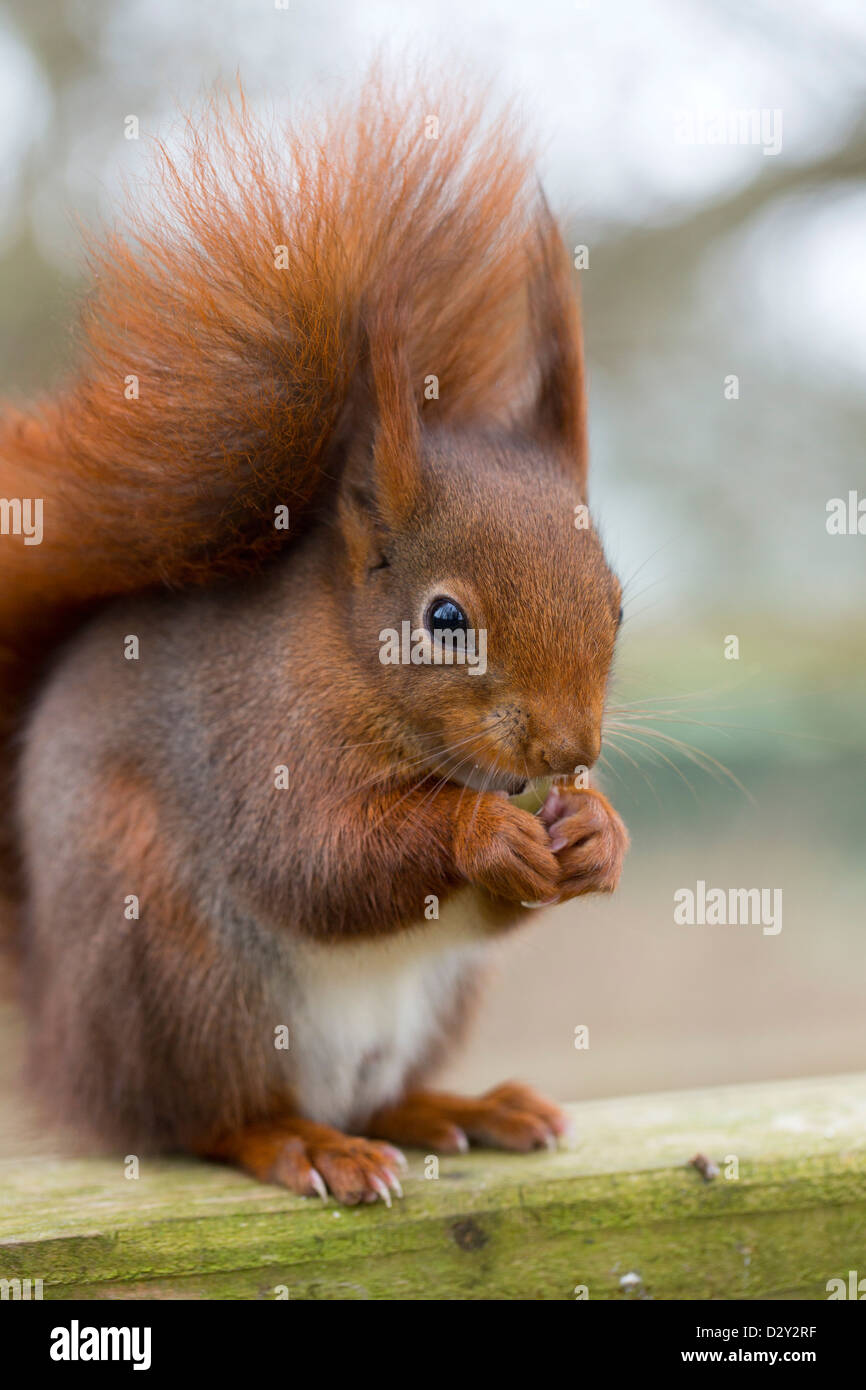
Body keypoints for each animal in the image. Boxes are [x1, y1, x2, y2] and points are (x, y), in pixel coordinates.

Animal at [0, 77, 628, 1205]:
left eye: (616, 604)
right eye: (443, 619)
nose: (571, 751)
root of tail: (70, 1055)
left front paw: (597, 834)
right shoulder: (256, 741)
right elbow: (314, 862)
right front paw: (482, 832)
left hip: (433, 1004)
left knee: (377, 1095)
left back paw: (460, 1108)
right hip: (174, 971)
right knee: (207, 1119)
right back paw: (299, 1143)